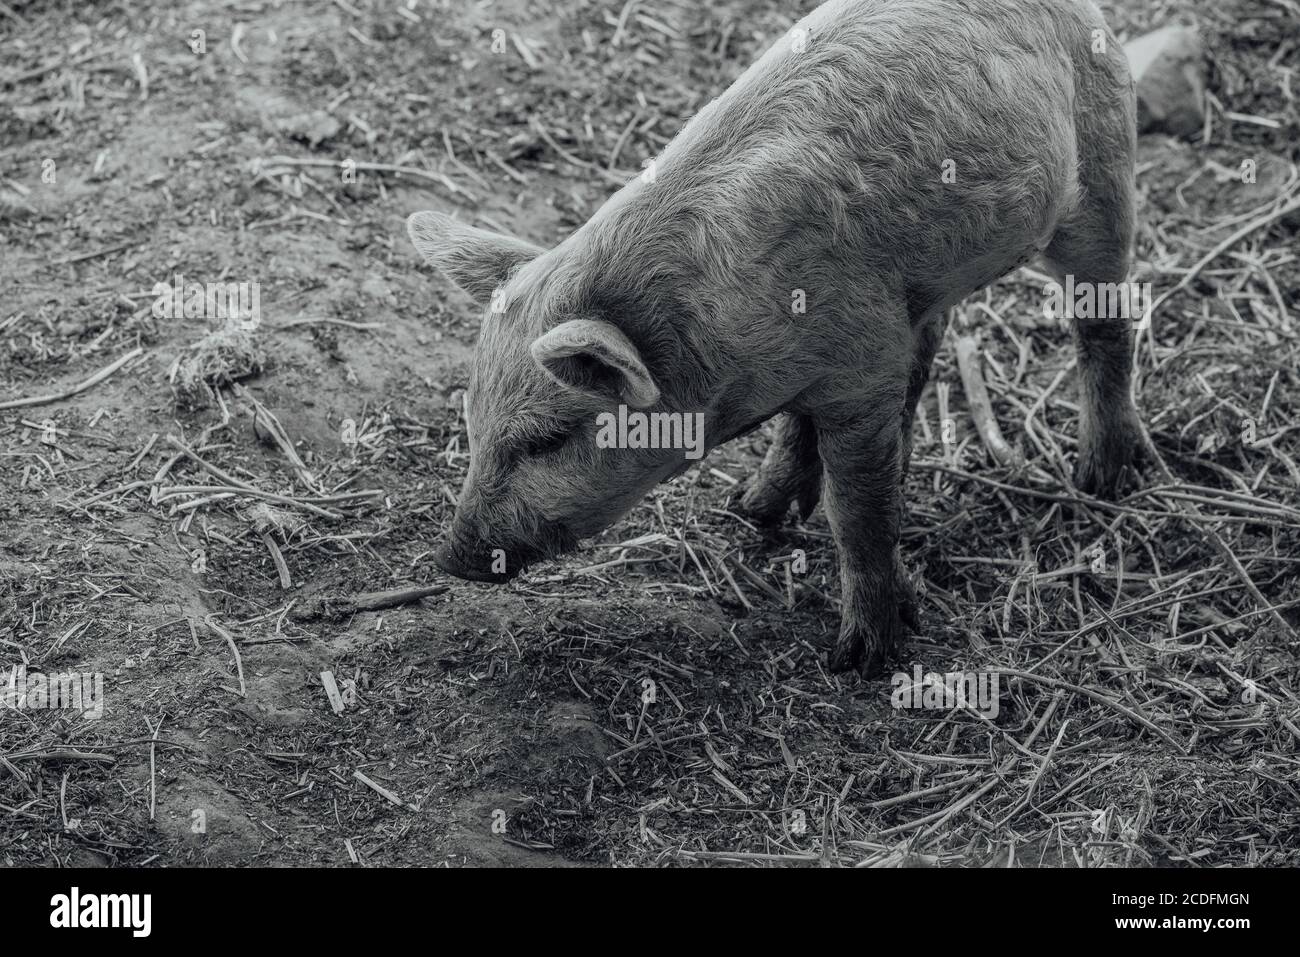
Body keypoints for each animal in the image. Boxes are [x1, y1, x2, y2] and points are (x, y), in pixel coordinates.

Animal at [407, 0, 1143, 676]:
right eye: (472, 422)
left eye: (549, 439)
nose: (451, 558)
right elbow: (804, 428)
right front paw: (750, 513)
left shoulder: (862, 364)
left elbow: (859, 510)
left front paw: (861, 658)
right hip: (927, 283)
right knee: (931, 346)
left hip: (1103, 167)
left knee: (1105, 320)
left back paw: (1104, 478)